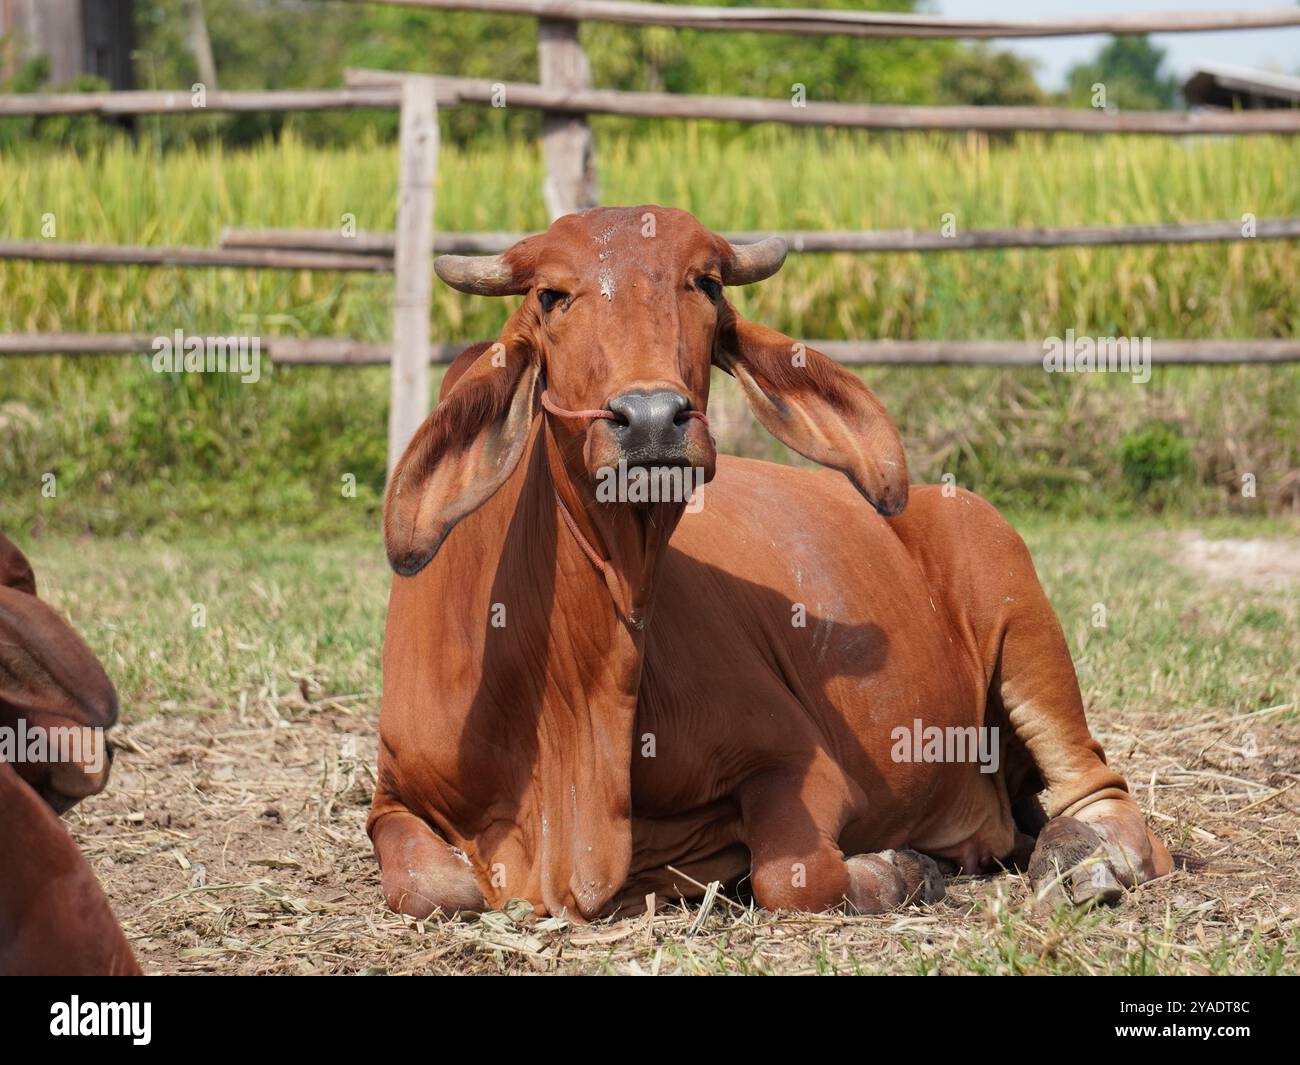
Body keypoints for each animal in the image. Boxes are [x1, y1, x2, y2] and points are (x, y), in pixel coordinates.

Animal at [369, 205, 1172, 921]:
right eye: (550, 295)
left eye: (705, 283)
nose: (652, 419)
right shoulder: (392, 793)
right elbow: (436, 887)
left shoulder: (796, 758)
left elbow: (790, 876)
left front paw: (903, 866)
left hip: (1026, 630)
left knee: (1103, 793)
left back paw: (1083, 859)